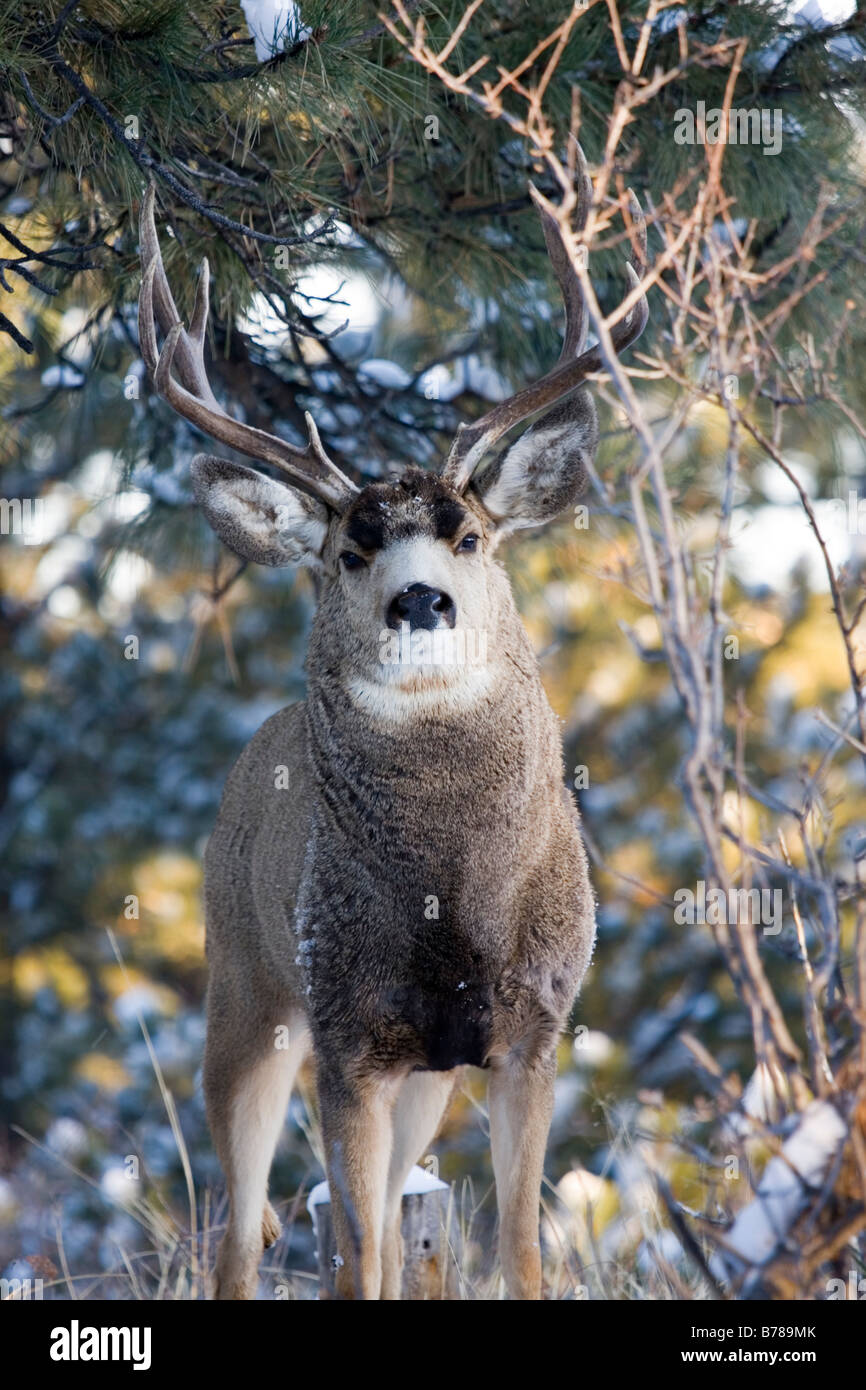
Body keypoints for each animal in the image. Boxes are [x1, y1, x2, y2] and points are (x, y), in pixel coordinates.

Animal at [137, 151, 648, 1301]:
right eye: (349, 552)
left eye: (470, 536)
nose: (421, 600)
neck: (447, 900)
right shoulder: (345, 1034)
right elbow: (355, 1262)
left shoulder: (530, 1029)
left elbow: (518, 1250)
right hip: (247, 991)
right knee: (241, 1234)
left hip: (424, 1077)